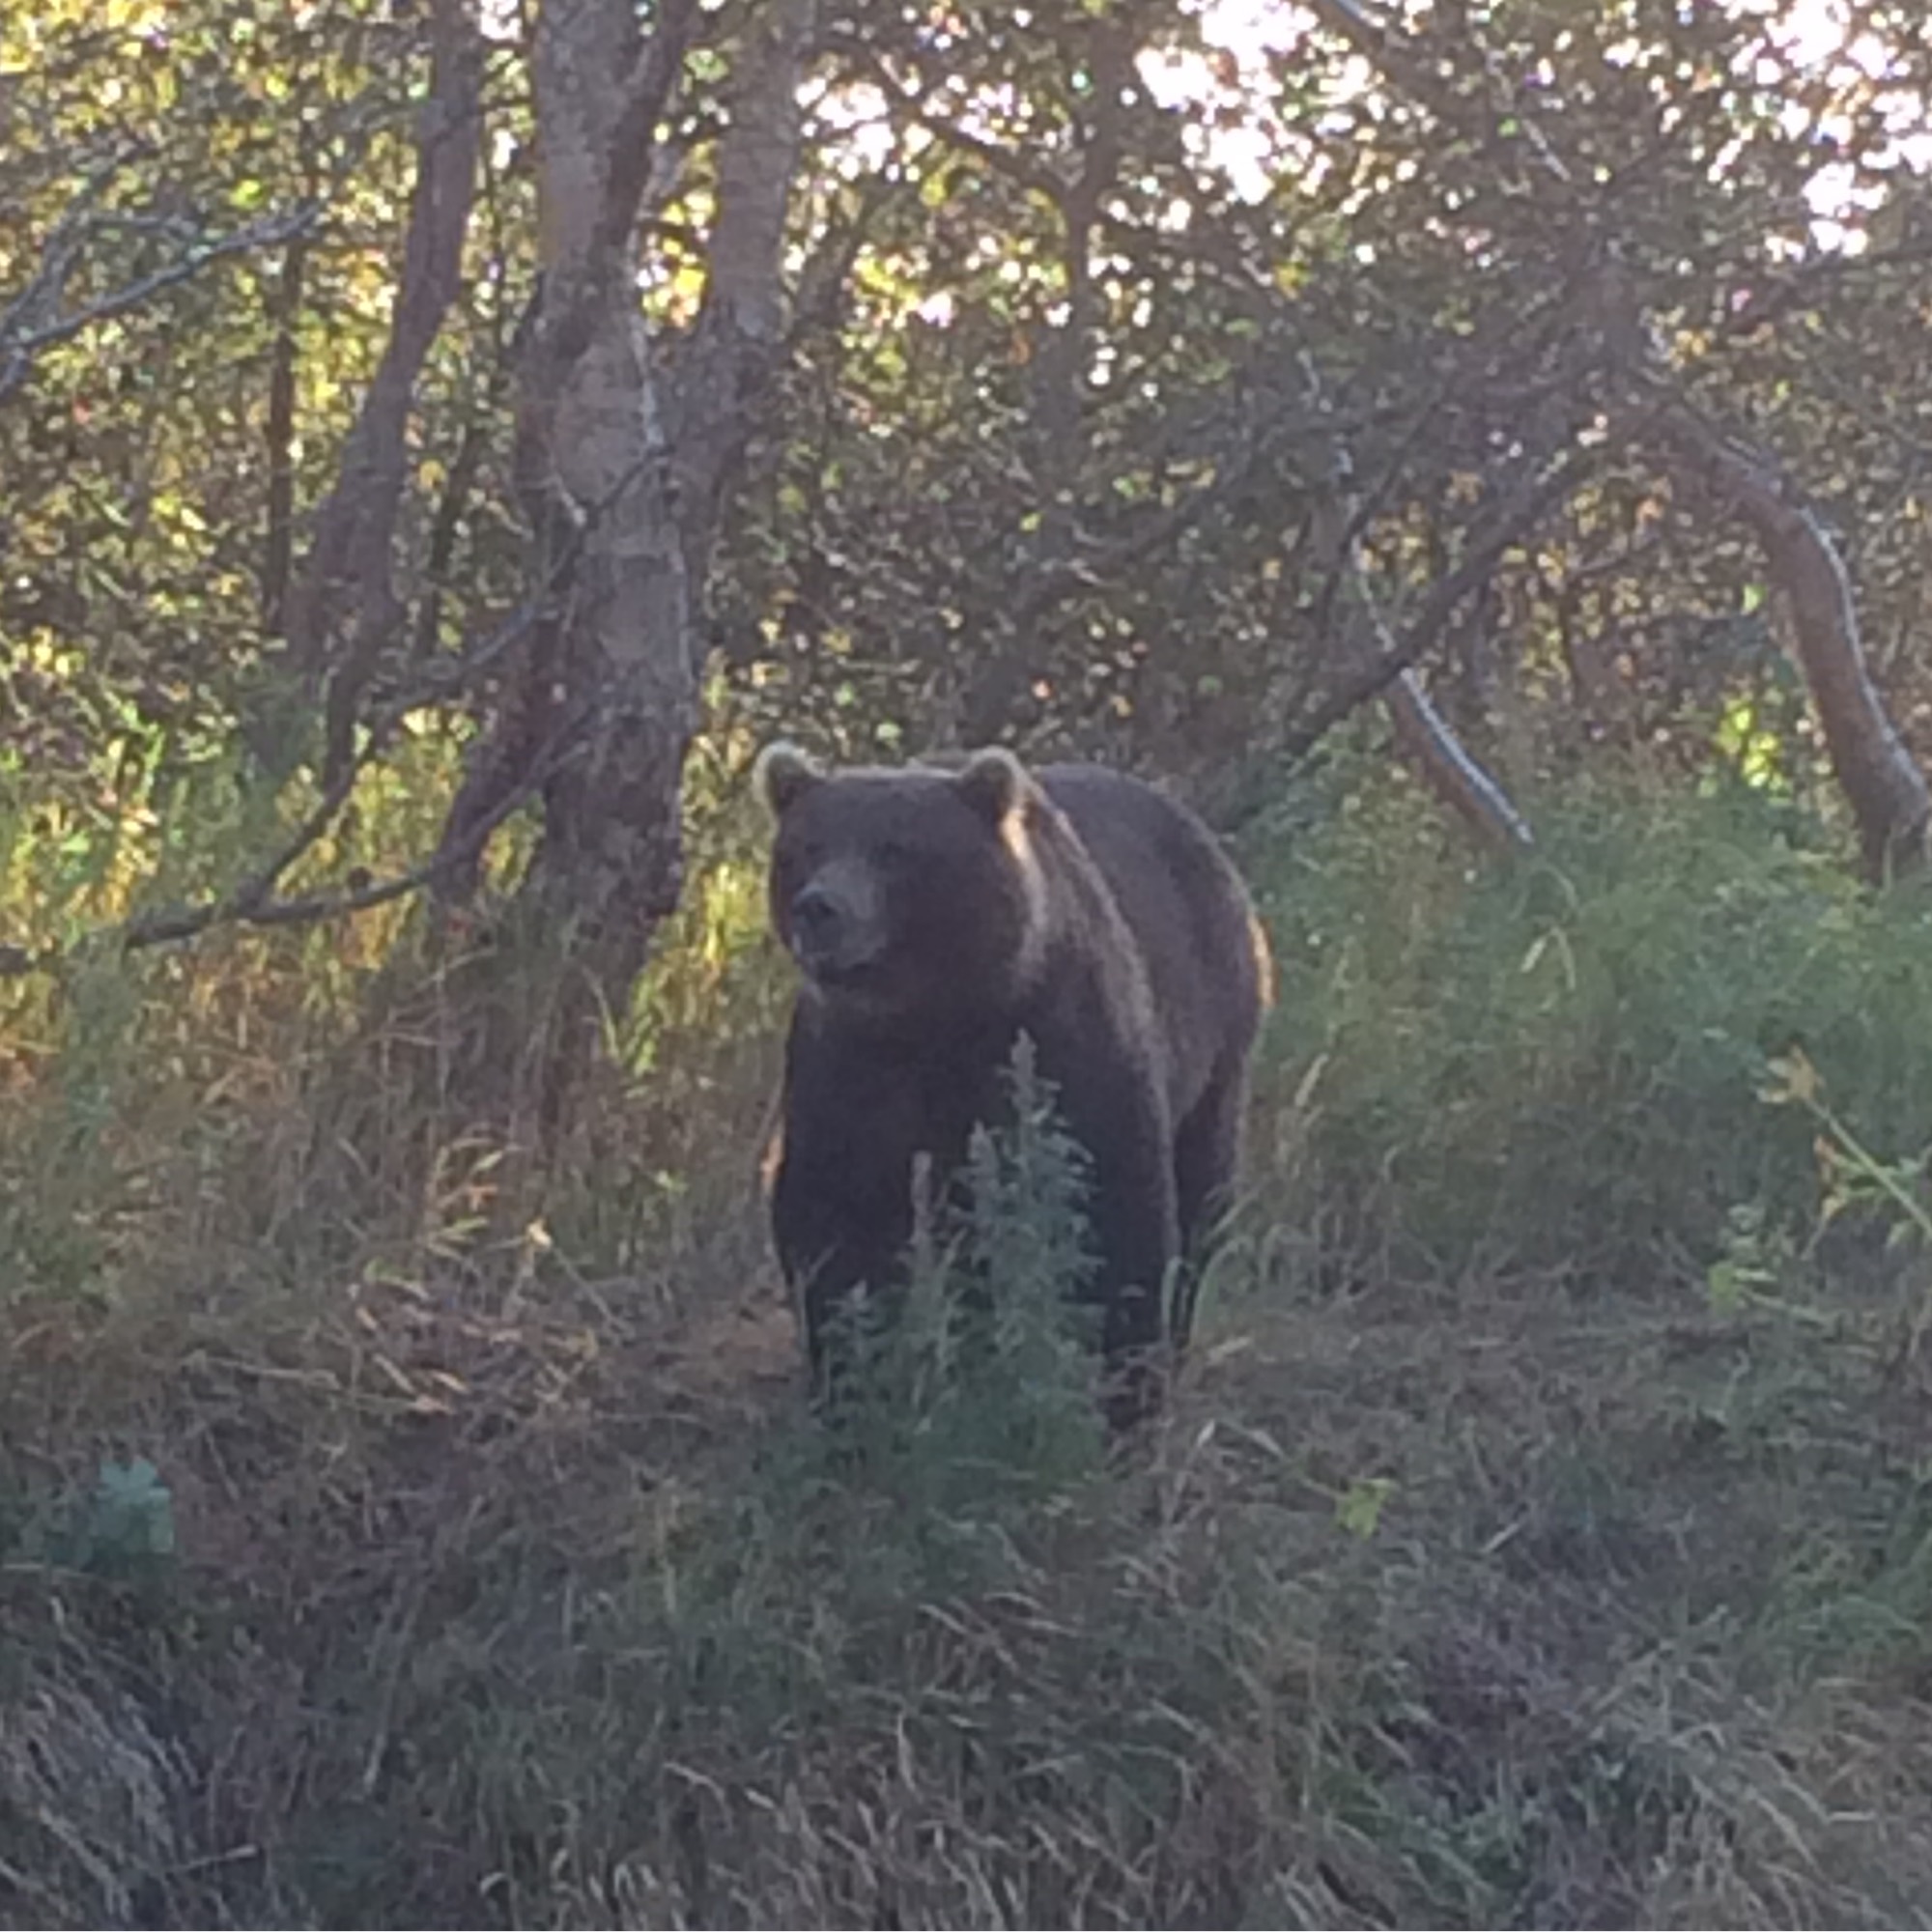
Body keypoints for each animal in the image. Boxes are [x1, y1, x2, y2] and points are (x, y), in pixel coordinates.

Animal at [750, 746, 1267, 1430]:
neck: (936, 1016)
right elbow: (829, 1214)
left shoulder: (1061, 1038)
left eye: (895, 849)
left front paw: (1129, 1395)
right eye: (807, 846)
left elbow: (1119, 1202)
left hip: (1219, 1038)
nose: (819, 907)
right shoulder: (845, 1065)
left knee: (1202, 1192)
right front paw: (852, 1389)